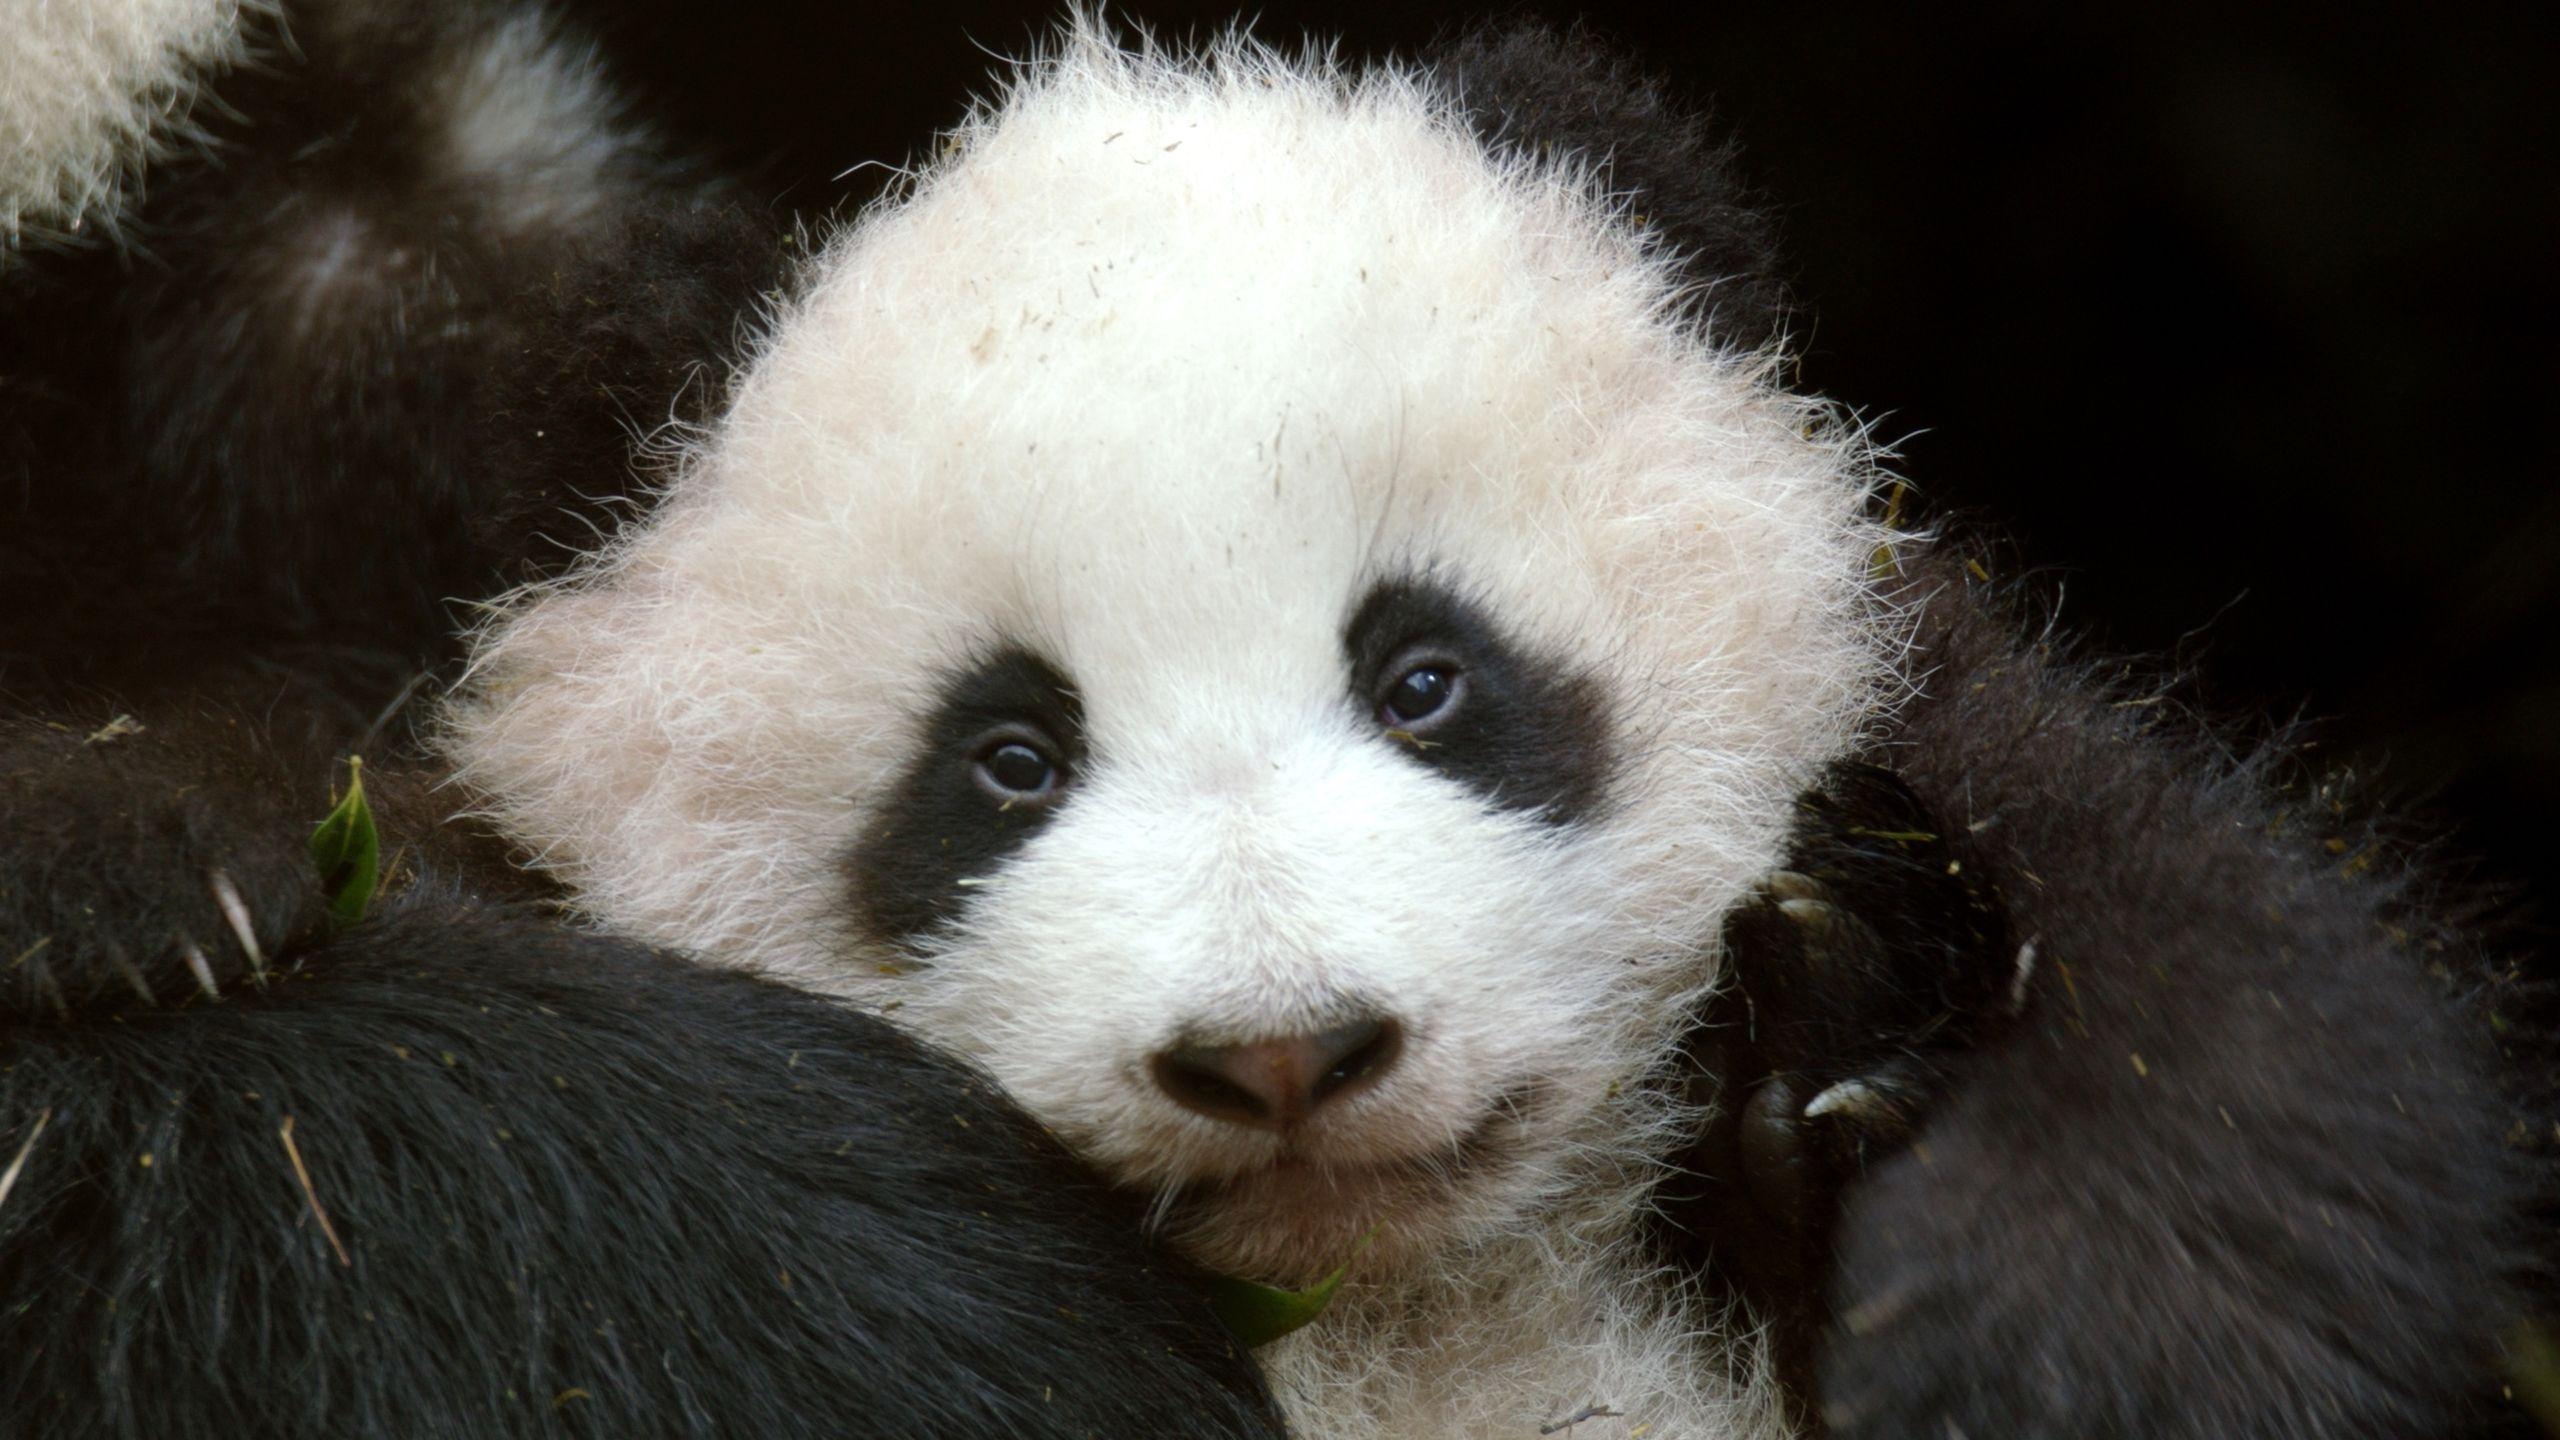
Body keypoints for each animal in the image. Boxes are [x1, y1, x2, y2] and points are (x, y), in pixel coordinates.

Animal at [1, 7, 2541, 1440]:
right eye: (1001, 761)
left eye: (1427, 680)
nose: (1284, 1049)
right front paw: (138, 864)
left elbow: (2202, 952)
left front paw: (2044, 1277)